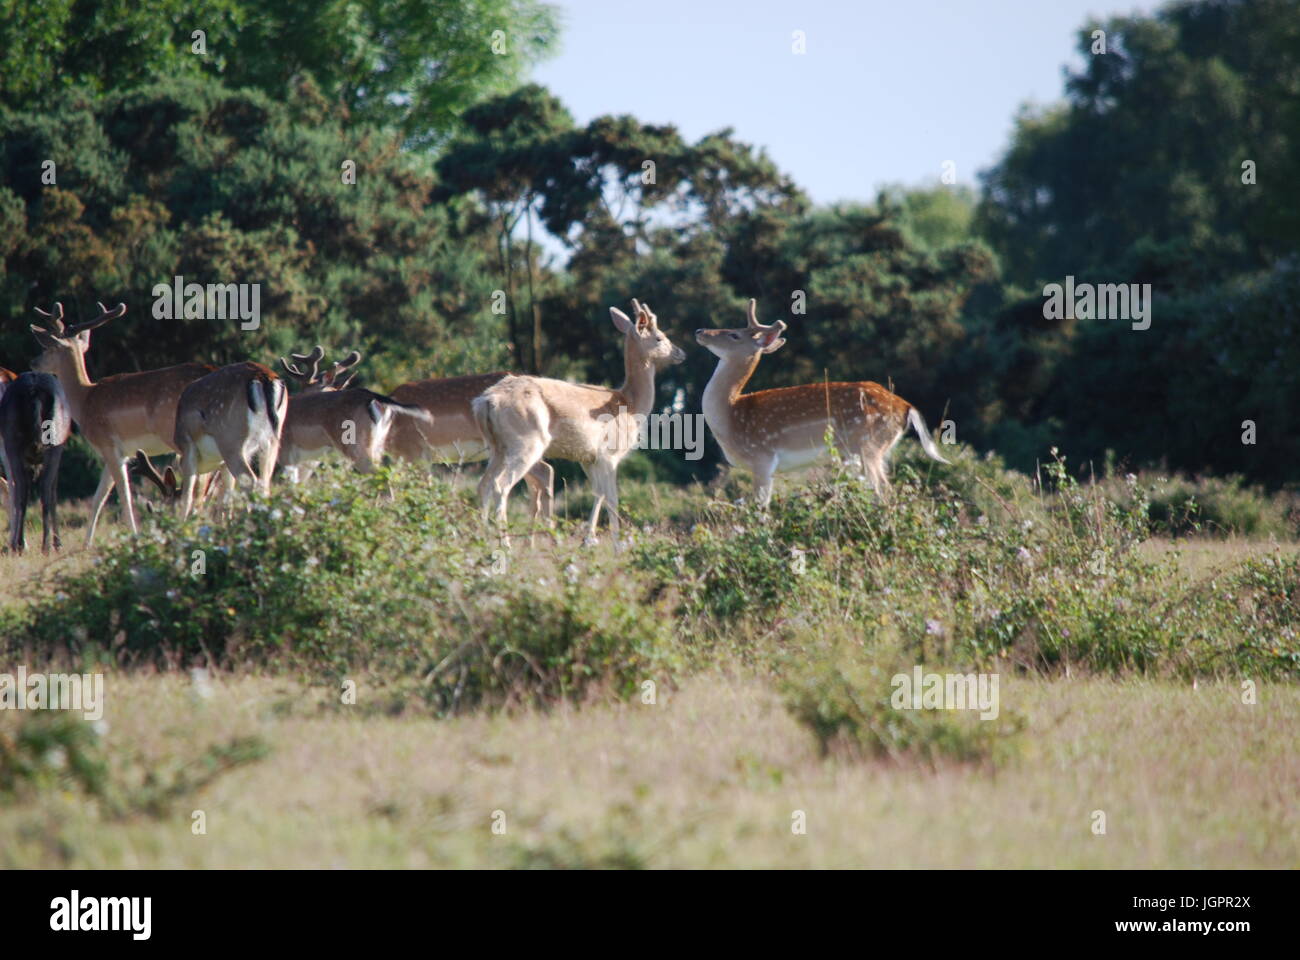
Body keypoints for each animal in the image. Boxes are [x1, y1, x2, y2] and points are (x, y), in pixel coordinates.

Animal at [0, 371, 72, 553]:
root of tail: (35, 391)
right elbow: (53, 492)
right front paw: (58, 543)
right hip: (53, 443)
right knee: (43, 488)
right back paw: (43, 545)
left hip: (13, 442)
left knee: (20, 489)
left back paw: (21, 544)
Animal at [29, 301, 218, 544]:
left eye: (47, 348)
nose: (33, 363)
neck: (84, 400)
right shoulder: (120, 452)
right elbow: (99, 497)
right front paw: (87, 544)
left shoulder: (109, 446)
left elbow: (123, 496)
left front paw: (134, 536)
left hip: (181, 436)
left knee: (200, 484)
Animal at [172, 362, 288, 518]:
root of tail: (264, 378)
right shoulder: (224, 464)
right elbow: (226, 497)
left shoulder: (188, 445)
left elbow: (188, 497)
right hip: (272, 442)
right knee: (264, 485)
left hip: (231, 442)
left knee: (252, 482)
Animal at [474, 299, 685, 543]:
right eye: (659, 336)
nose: (681, 353)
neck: (630, 405)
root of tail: (485, 401)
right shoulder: (609, 454)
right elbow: (612, 498)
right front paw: (615, 544)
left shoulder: (587, 458)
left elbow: (598, 493)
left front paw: (589, 540)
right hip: (526, 443)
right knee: (501, 485)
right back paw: (505, 544)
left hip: (496, 447)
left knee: (484, 484)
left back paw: (481, 538)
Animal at [695, 299, 949, 507]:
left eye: (734, 335)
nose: (700, 330)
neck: (731, 416)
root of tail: (906, 406)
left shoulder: (762, 458)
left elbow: (760, 508)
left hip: (867, 444)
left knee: (883, 490)